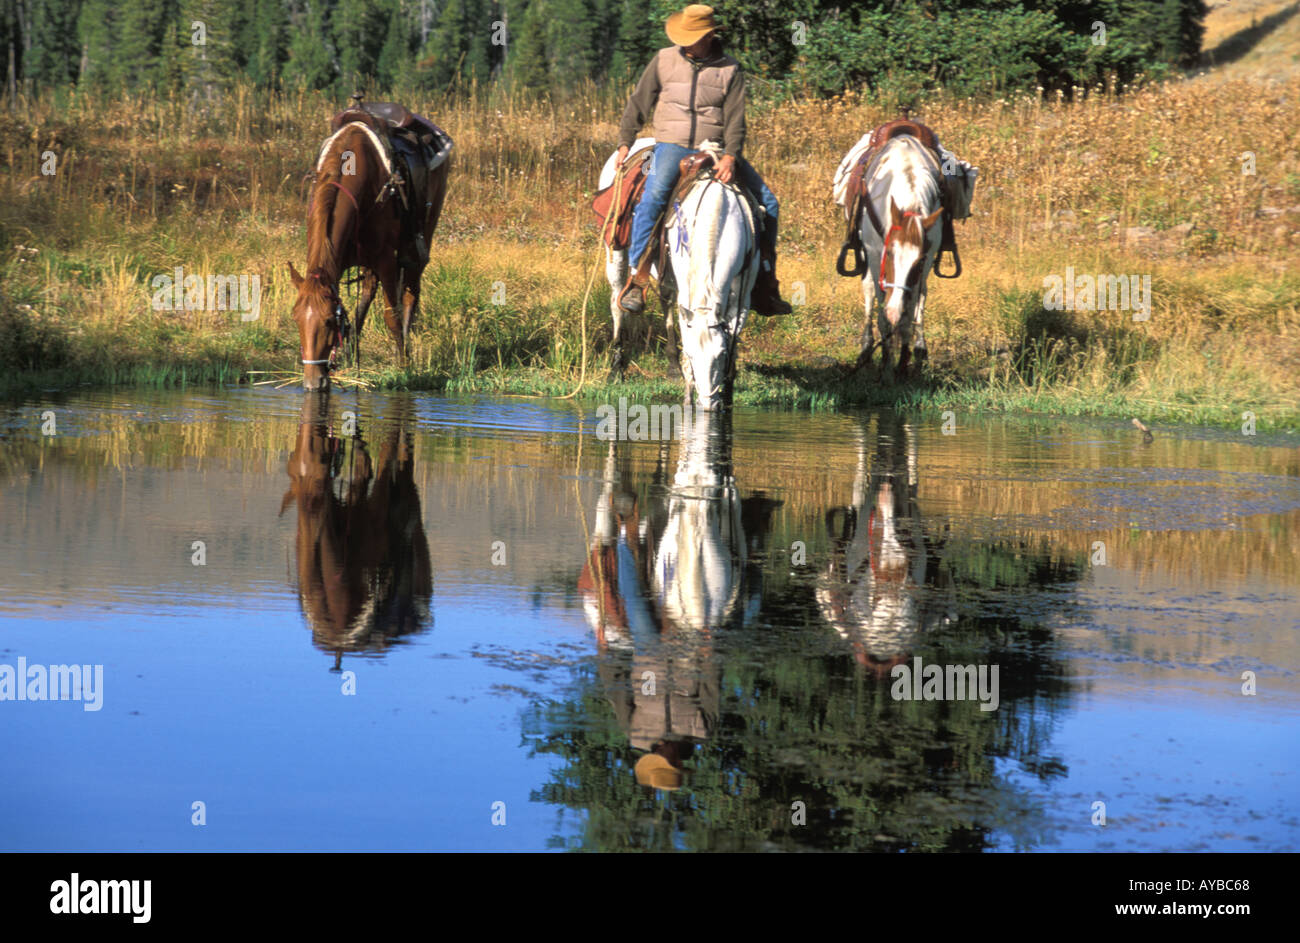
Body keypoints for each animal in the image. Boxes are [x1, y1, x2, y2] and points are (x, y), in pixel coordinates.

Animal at [289, 117, 449, 391]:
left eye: (329, 321)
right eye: (296, 319)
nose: (313, 382)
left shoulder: (386, 260)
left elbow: (392, 316)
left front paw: (404, 365)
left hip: (419, 242)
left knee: (410, 292)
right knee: (368, 290)